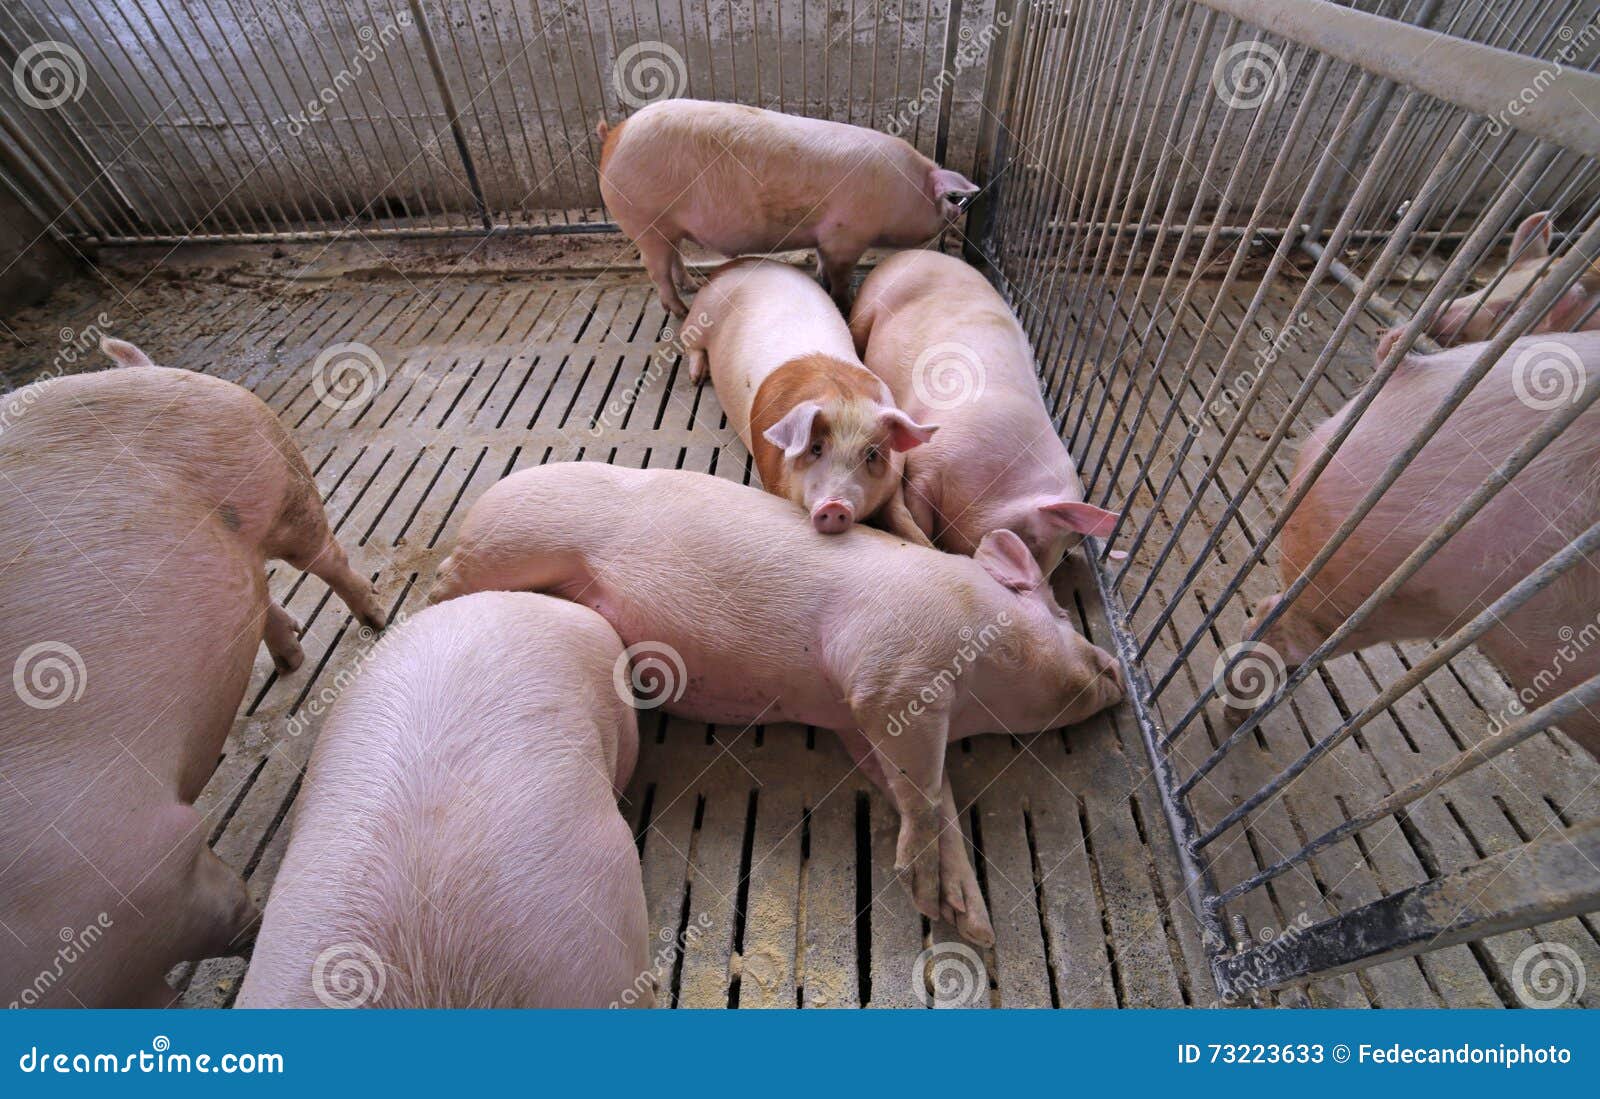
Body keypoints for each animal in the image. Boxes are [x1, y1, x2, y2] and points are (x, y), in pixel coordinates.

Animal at [0, 338, 386, 1007]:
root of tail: (145, 369)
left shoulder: (130, 868)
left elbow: (224, 914)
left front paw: (255, 935)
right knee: (259, 595)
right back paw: (288, 662)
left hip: (278, 483)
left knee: (326, 557)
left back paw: (375, 620)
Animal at [430, 462, 1125, 946]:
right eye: (1061, 614)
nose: (1117, 671)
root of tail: (488, 497)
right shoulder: (896, 674)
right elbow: (926, 794)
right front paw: (930, 894)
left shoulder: (859, 722)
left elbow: (925, 792)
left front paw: (970, 922)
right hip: (515, 543)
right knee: (446, 581)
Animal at [596, 99, 980, 316]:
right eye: (945, 197)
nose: (959, 210)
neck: (901, 190)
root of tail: (615, 134)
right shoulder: (847, 235)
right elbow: (841, 274)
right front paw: (843, 300)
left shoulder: (825, 234)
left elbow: (823, 259)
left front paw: (821, 277)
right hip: (644, 220)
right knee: (655, 269)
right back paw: (680, 309)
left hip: (667, 226)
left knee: (674, 258)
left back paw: (690, 285)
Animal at [683, 257, 936, 537]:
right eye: (816, 448)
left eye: (871, 454)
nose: (836, 506)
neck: (841, 396)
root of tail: (733, 264)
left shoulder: (894, 480)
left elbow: (902, 516)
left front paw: (925, 542)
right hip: (699, 317)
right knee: (688, 341)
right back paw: (697, 377)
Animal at [849, 249, 1121, 575]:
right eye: (1034, 540)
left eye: (1059, 557)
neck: (997, 480)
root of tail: (908, 254)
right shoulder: (928, 463)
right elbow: (919, 513)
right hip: (866, 309)